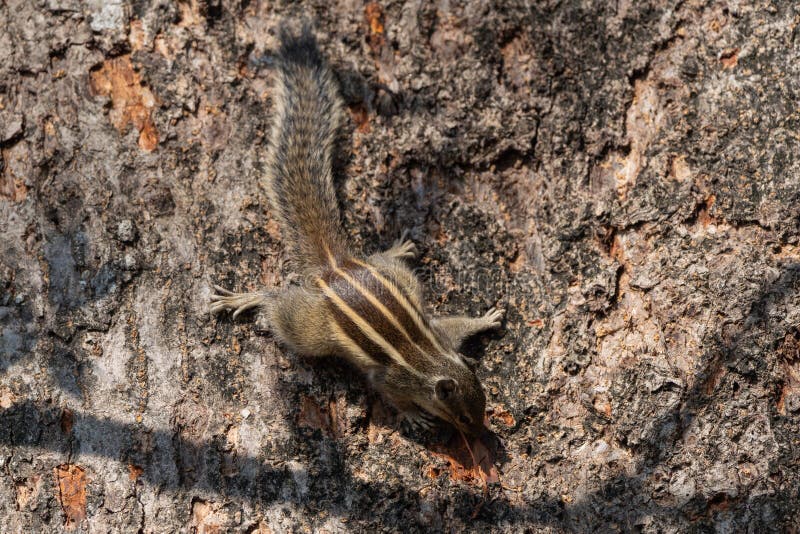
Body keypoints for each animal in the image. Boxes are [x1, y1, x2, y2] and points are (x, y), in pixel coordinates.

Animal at [210, 26, 503, 437]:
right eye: (462, 416)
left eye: (484, 400)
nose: (479, 434)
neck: (429, 358)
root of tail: (335, 267)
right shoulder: (390, 378)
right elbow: (389, 395)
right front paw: (412, 415)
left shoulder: (443, 335)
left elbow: (458, 324)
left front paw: (485, 319)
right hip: (311, 331)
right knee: (279, 305)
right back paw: (248, 298)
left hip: (398, 278)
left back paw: (396, 250)